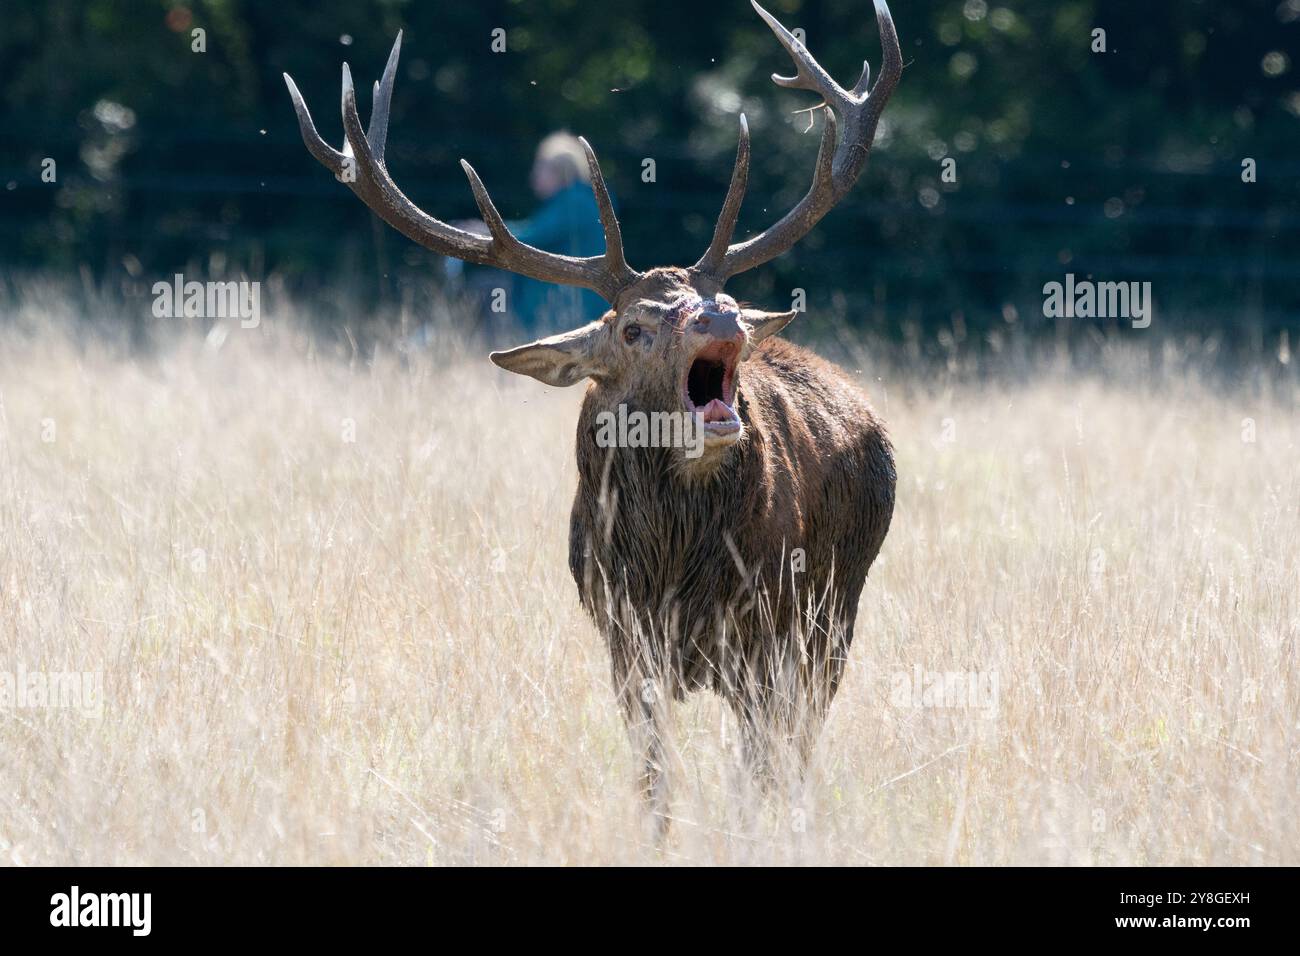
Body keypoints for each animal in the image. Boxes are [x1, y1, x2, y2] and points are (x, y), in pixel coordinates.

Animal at [285, 0, 901, 829]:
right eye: (635, 326)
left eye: (729, 299)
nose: (721, 319)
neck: (672, 564)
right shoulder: (622, 638)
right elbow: (654, 779)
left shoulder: (766, 629)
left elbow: (757, 771)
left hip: (837, 607)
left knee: (797, 741)